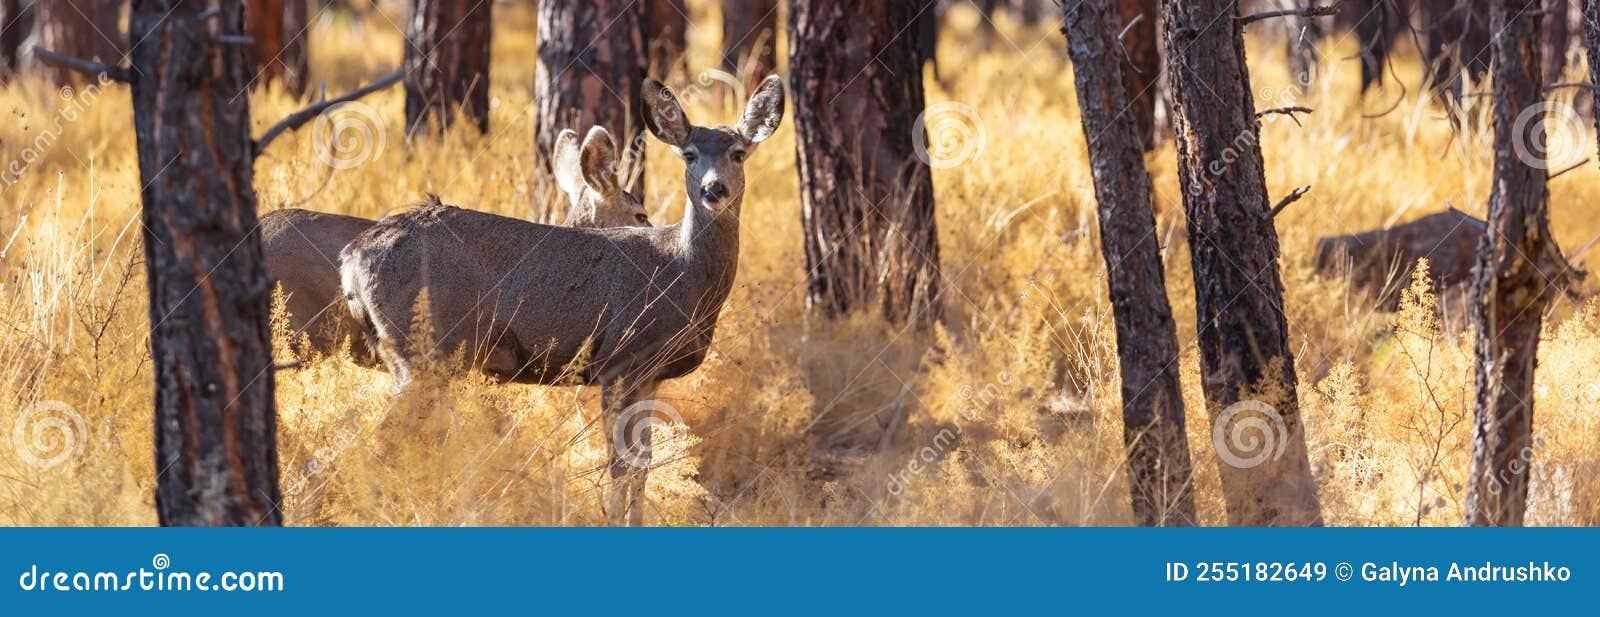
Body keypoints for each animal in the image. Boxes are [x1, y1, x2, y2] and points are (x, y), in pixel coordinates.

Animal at [338, 75, 785, 525]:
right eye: (689, 154)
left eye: (738, 153)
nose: (714, 188)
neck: (682, 271)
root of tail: (352, 257)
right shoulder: (621, 361)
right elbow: (621, 464)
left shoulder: (651, 376)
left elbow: (643, 463)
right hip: (423, 349)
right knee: (383, 439)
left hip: (410, 355)